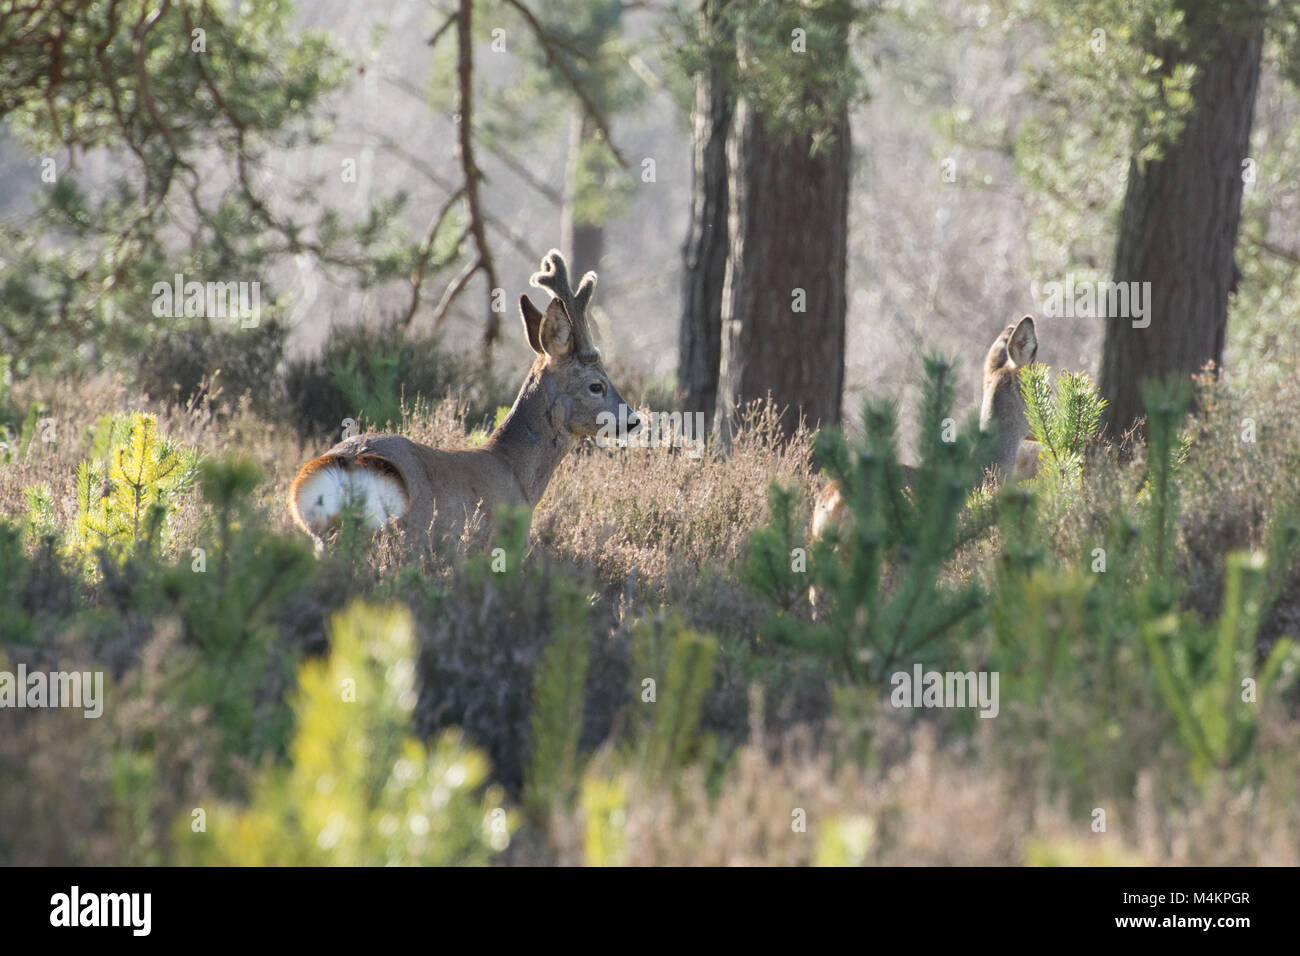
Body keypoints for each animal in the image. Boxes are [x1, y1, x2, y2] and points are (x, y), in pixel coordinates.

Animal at [289, 249, 640, 552]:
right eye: (596, 385)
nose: (633, 419)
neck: (515, 472)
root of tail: (346, 468)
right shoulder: (503, 544)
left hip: (325, 539)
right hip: (405, 536)